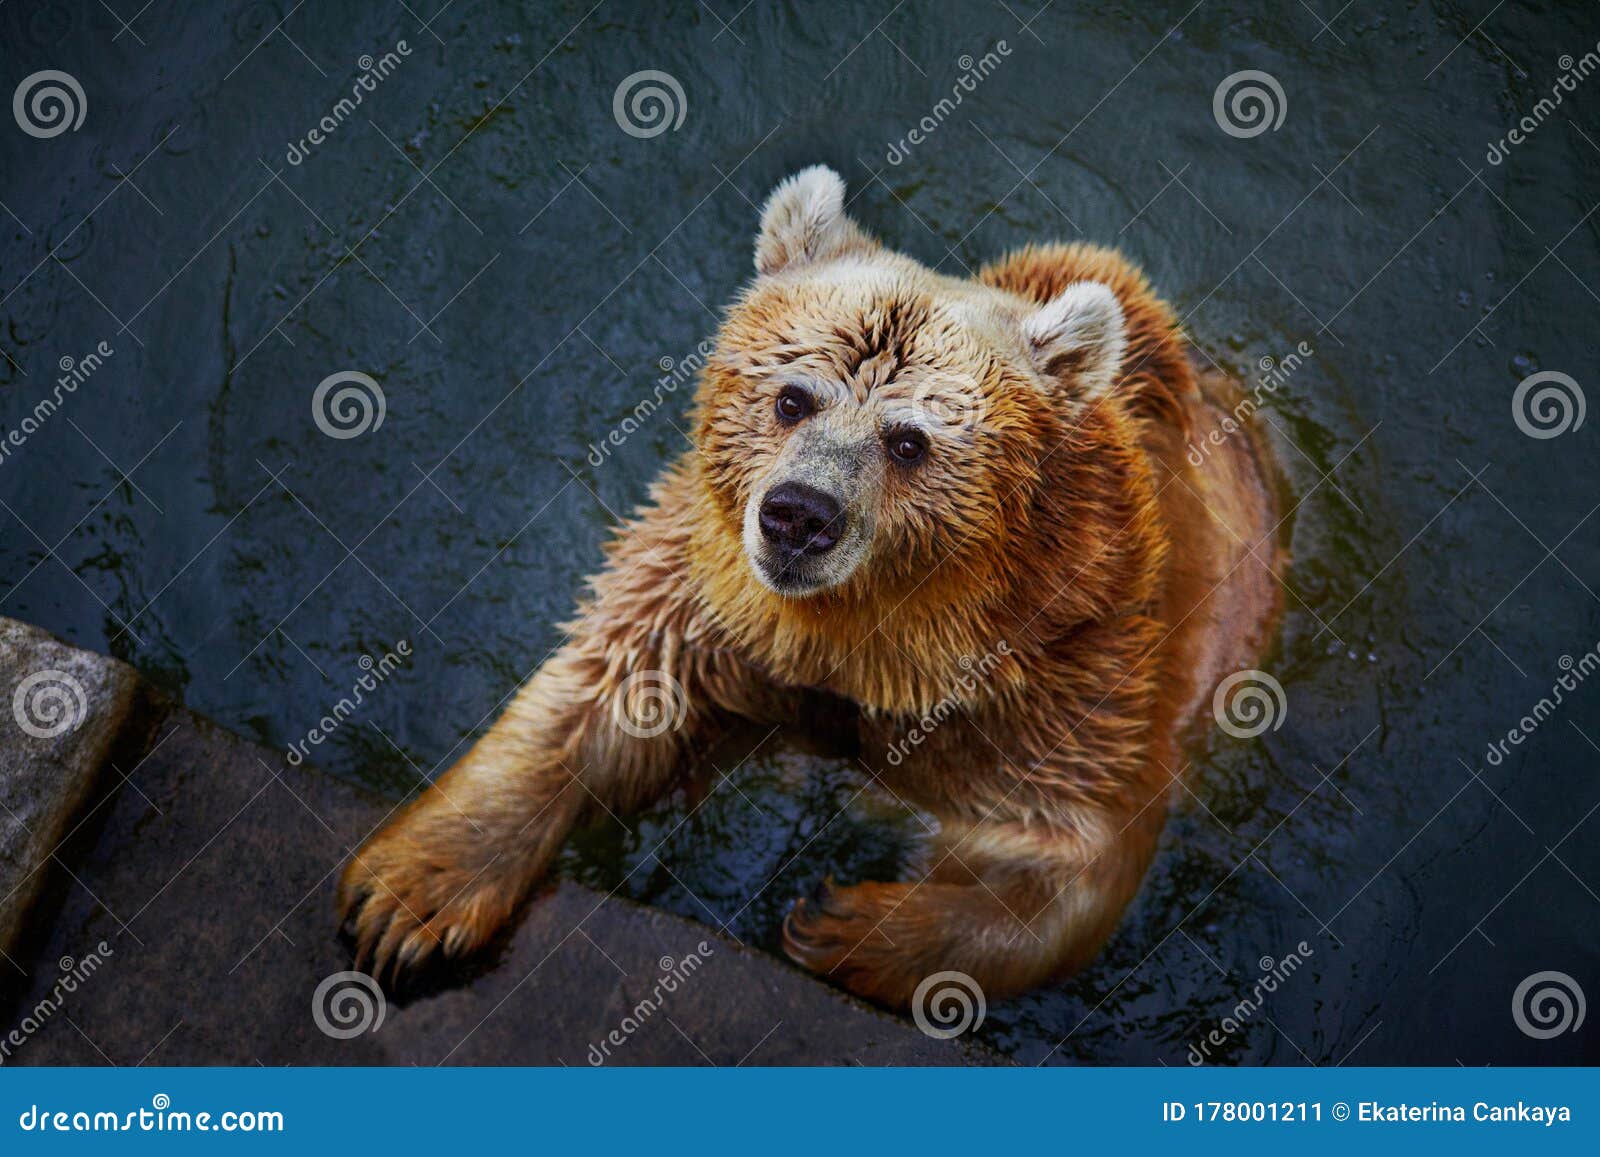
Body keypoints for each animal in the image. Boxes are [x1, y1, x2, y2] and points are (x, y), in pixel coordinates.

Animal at [339, 165, 1282, 1008]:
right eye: (793, 397)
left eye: (909, 440)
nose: (798, 515)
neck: (870, 638)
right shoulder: (707, 596)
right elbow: (597, 698)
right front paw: (404, 896)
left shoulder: (1065, 667)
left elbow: (1070, 853)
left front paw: (840, 923)